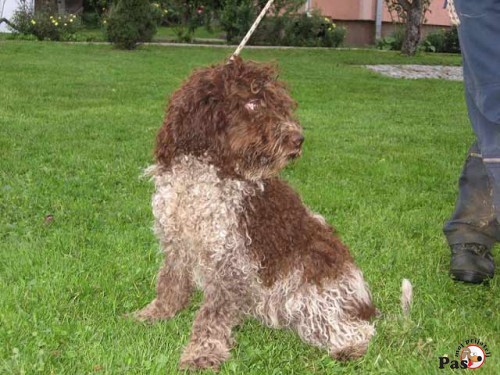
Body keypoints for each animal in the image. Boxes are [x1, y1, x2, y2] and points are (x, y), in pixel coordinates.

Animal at [135, 57, 376, 372]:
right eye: (251, 103)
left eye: (279, 104)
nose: (298, 139)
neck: (204, 172)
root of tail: (364, 299)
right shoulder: (176, 243)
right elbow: (169, 283)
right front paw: (157, 313)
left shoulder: (229, 261)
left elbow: (211, 315)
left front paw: (202, 352)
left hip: (313, 294)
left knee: (358, 328)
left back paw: (350, 347)